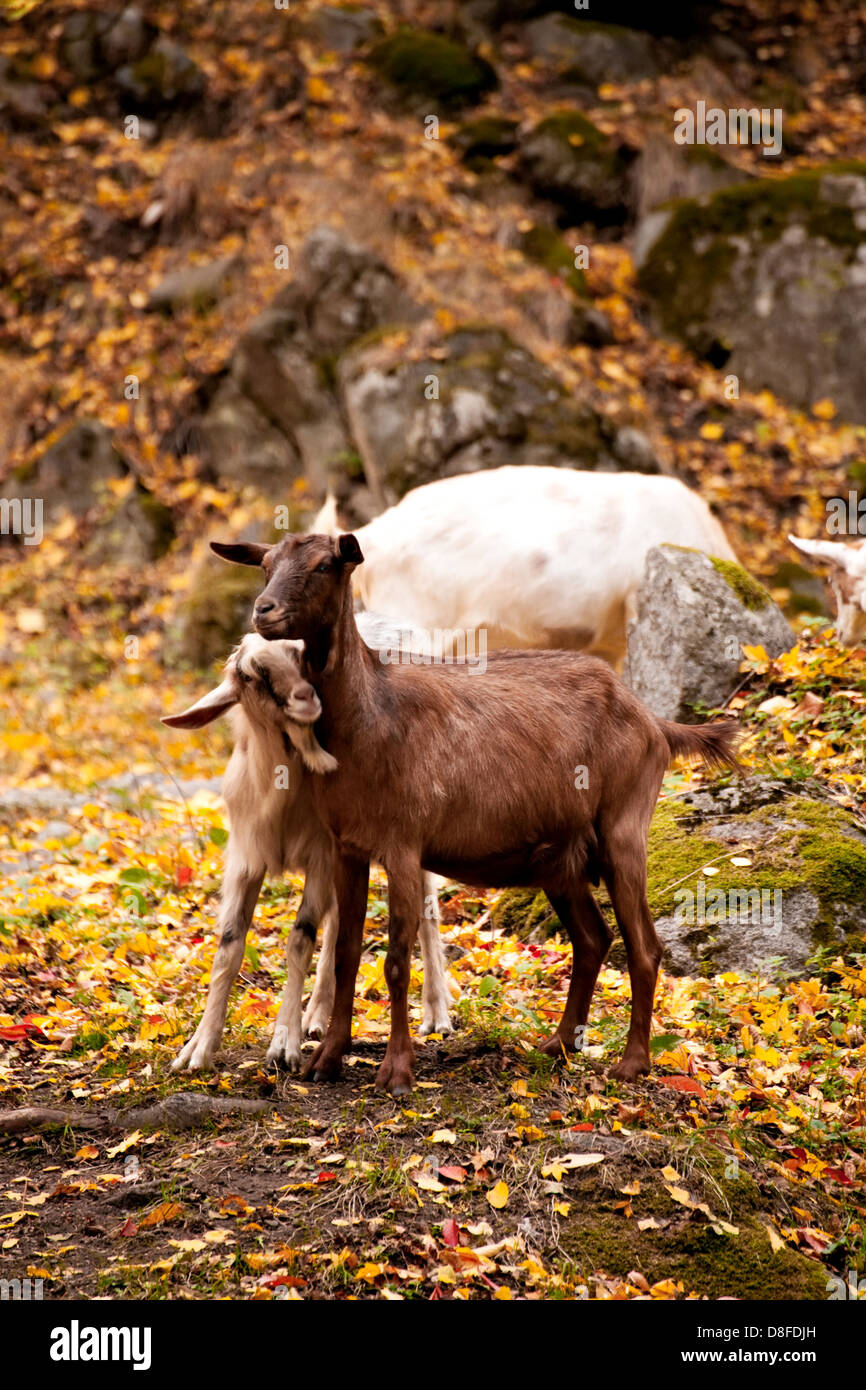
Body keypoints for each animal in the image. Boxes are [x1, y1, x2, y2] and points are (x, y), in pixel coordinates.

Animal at [163, 631, 452, 1073]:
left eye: (300, 654)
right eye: (251, 674)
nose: (307, 698)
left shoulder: (321, 855)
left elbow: (300, 938)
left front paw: (284, 1044)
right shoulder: (246, 859)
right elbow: (229, 944)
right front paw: (199, 1048)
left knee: (427, 910)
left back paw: (437, 1012)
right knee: (338, 924)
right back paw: (317, 1014)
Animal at [211, 531, 739, 1096]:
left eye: (325, 564)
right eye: (266, 564)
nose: (264, 610)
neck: (369, 720)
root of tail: (656, 724)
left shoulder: (403, 842)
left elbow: (396, 960)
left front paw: (397, 1071)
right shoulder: (346, 845)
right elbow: (347, 953)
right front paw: (327, 1060)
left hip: (624, 827)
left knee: (644, 945)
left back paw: (631, 1063)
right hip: (562, 858)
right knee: (593, 939)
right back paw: (557, 1045)